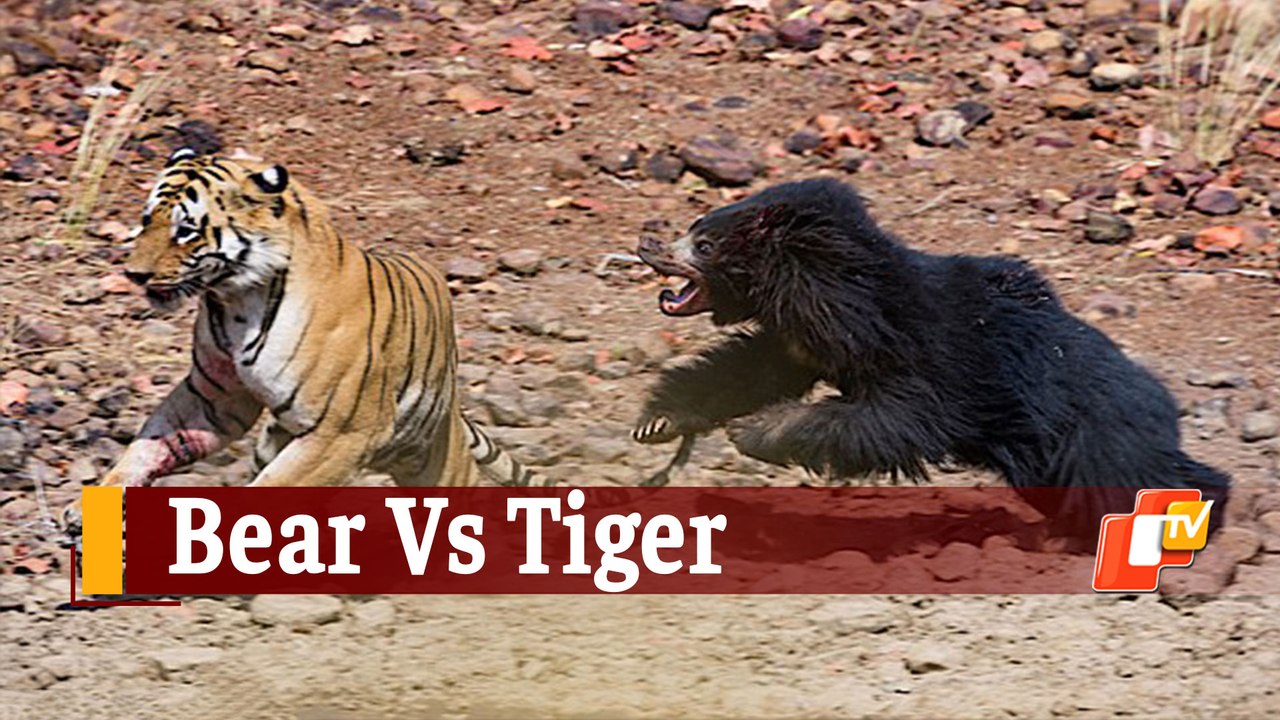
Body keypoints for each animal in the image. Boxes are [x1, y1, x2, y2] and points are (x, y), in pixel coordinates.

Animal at [63, 147, 541, 529]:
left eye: (186, 230)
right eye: (147, 221)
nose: (134, 275)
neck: (234, 299)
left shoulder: (342, 434)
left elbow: (275, 486)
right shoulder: (214, 398)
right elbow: (149, 446)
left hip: (438, 466)